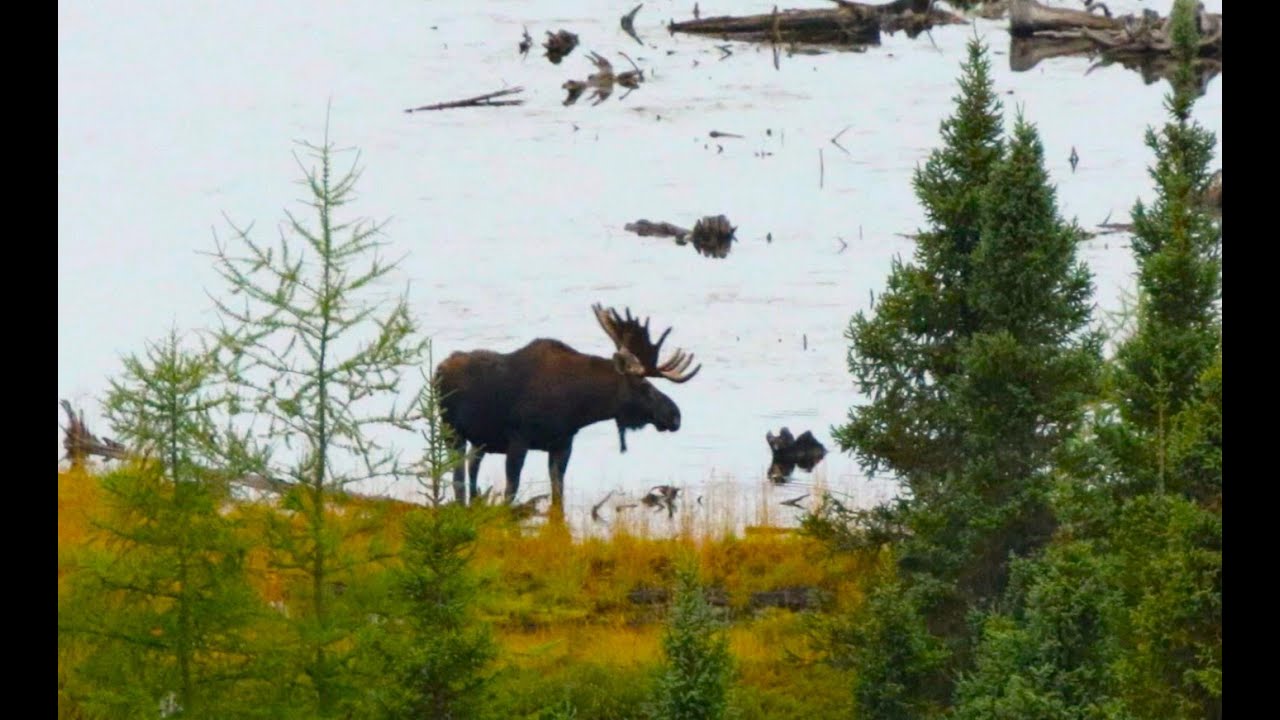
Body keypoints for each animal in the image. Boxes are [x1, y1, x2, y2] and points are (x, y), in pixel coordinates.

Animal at [435, 304, 702, 512]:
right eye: (644, 386)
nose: (674, 415)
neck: (578, 404)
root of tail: (439, 368)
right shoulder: (518, 439)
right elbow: (511, 491)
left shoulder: (563, 443)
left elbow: (558, 495)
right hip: (452, 432)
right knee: (458, 479)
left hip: (478, 442)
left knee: (470, 475)